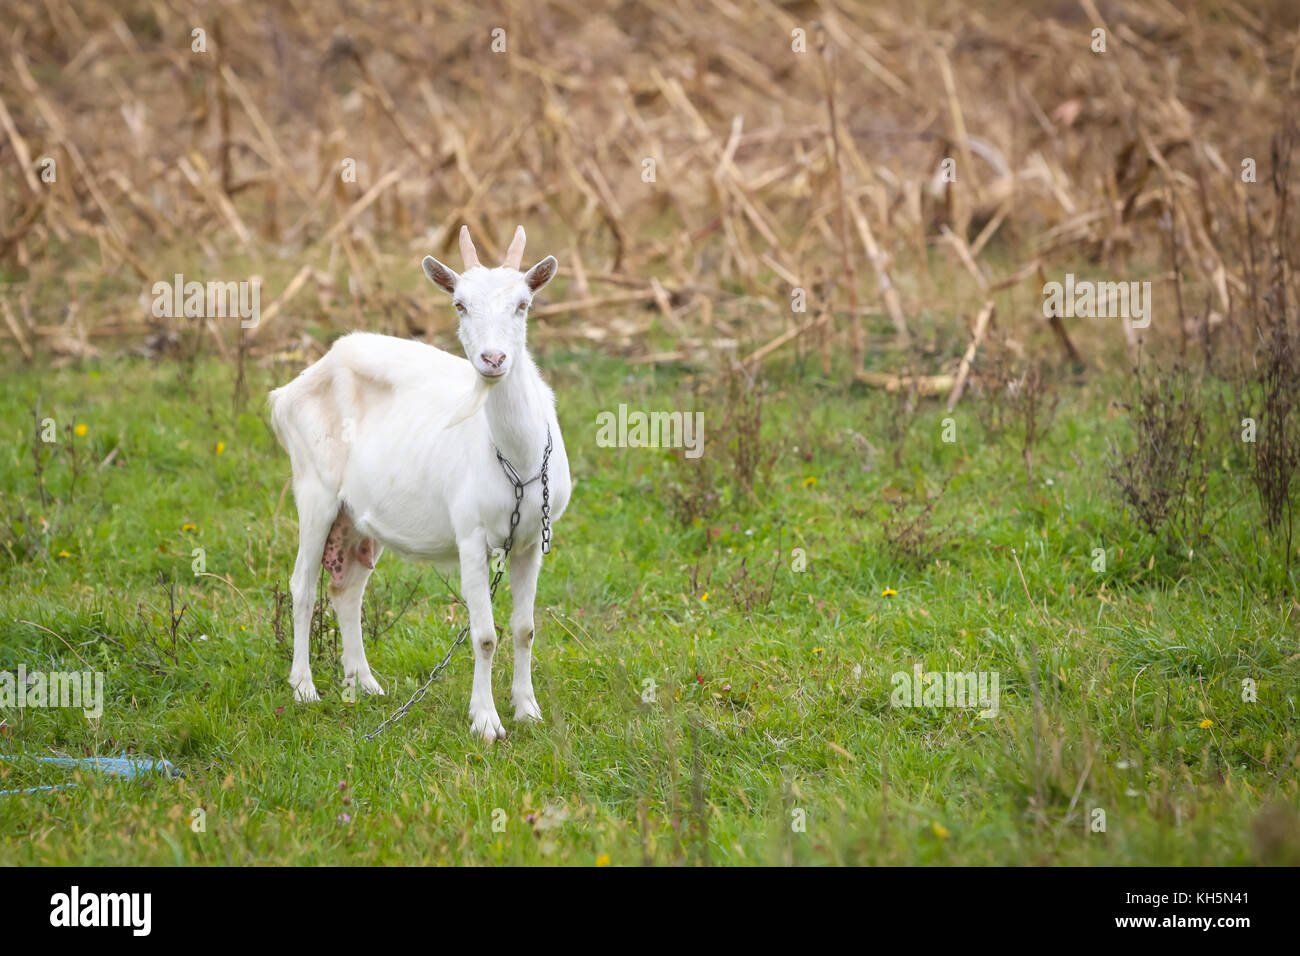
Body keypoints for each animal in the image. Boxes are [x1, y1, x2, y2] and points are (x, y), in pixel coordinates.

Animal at [268, 225, 571, 742]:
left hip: (355, 516)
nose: (493, 358)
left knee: (348, 589)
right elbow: (484, 636)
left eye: (524, 303)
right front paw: (485, 720)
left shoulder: (531, 540)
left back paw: (364, 683)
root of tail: (291, 389)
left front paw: (527, 709)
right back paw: (304, 686)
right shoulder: (470, 535)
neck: (518, 459)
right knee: (303, 585)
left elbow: (524, 628)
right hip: (314, 489)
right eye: (460, 304)